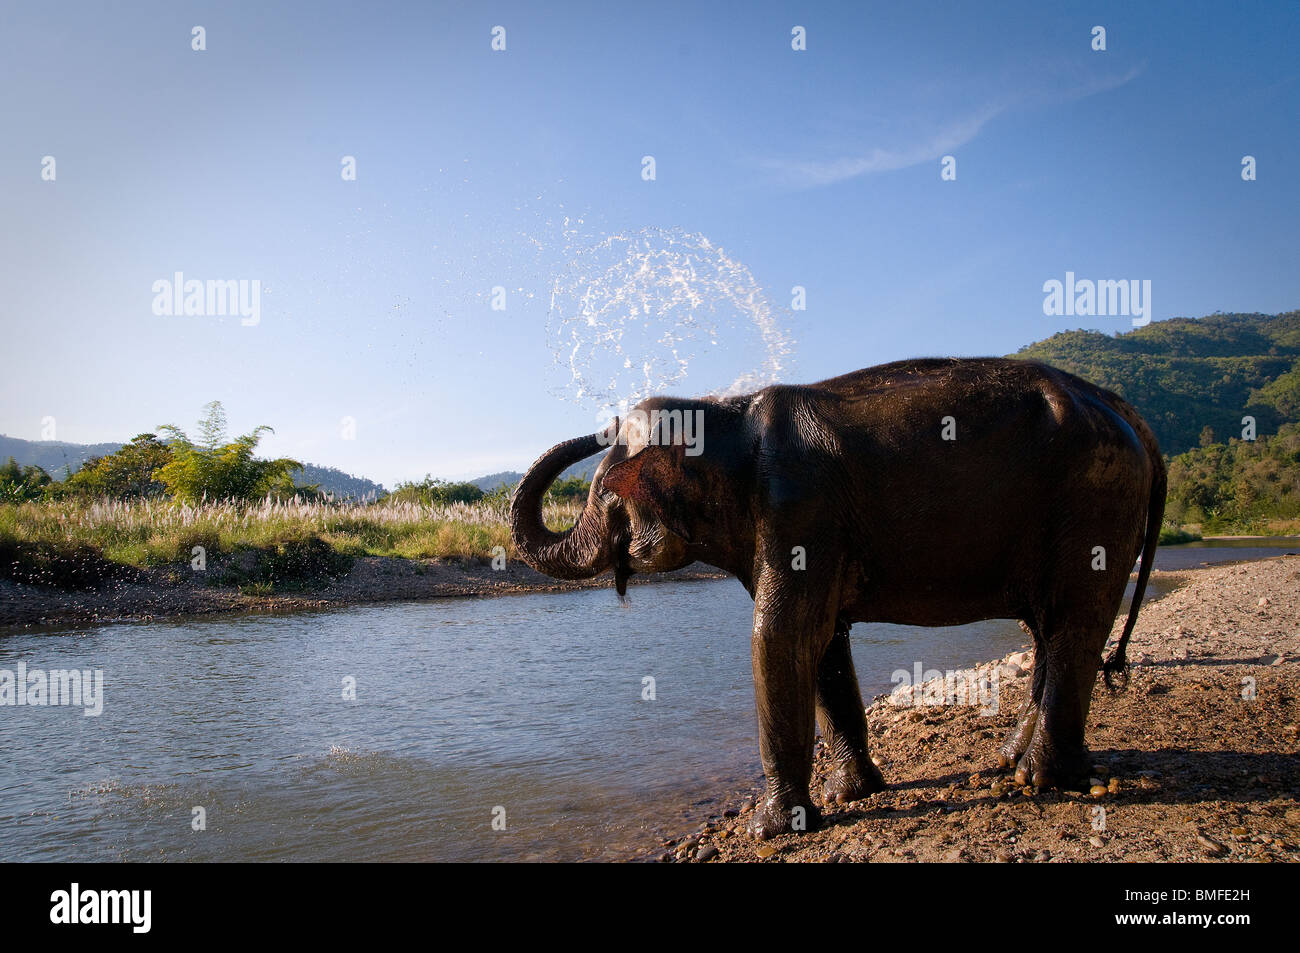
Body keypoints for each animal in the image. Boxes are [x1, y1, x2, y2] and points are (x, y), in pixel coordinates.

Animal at [510, 357, 1166, 839]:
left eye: (603, 497)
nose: (593, 430)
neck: (726, 413)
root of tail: (1128, 413)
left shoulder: (799, 511)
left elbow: (778, 637)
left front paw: (770, 829)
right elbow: (823, 644)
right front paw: (848, 794)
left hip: (1096, 503)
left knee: (1072, 627)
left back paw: (1039, 779)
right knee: (1047, 630)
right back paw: (1011, 761)